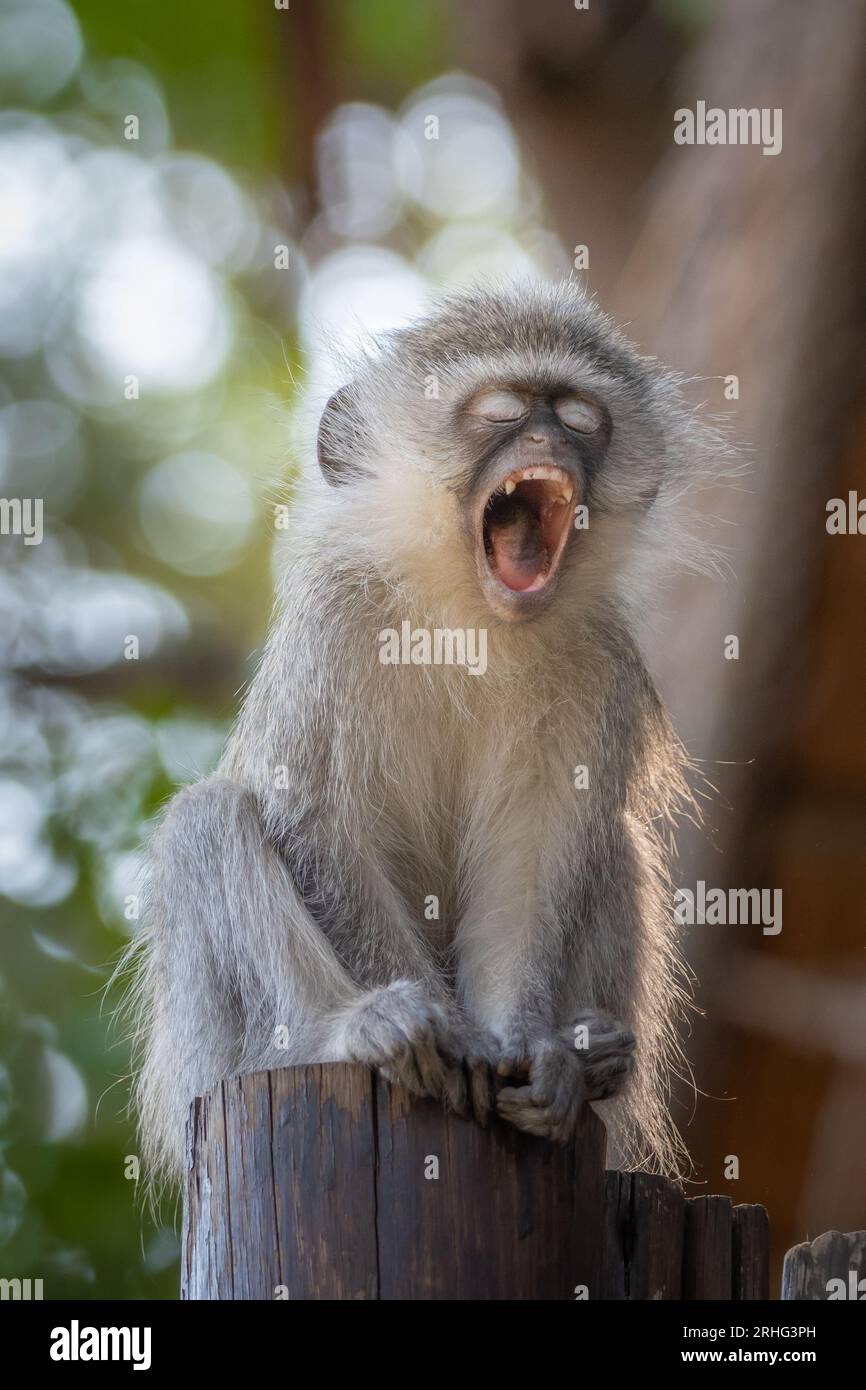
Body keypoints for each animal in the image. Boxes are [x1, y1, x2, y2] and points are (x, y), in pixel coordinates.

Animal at [126, 280, 723, 1186]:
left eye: (581, 419)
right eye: (502, 413)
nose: (549, 440)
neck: (466, 620)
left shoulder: (600, 663)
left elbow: (537, 848)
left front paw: (536, 1050)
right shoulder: (334, 622)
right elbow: (316, 822)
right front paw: (440, 1035)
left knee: (613, 843)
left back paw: (596, 1060)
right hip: (213, 1057)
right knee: (209, 819)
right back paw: (354, 1031)